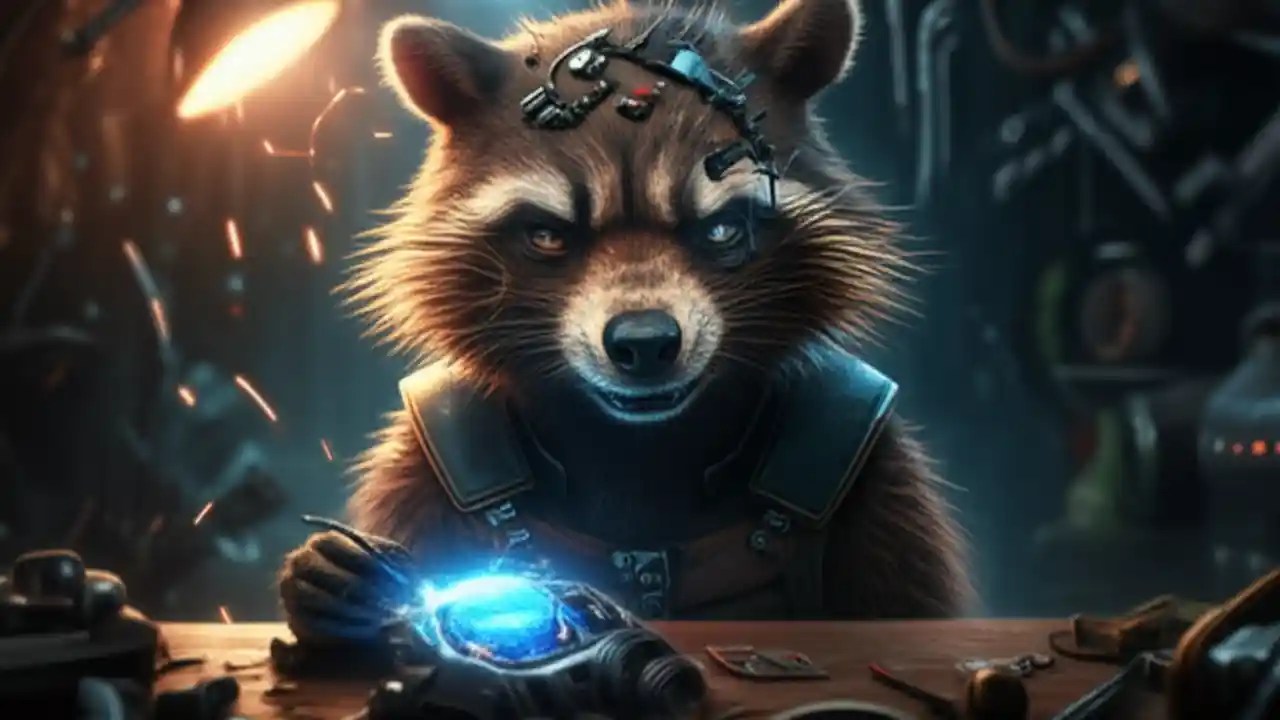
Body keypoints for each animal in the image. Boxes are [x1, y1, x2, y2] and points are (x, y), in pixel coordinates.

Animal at [280, 0, 971, 638]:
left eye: (722, 230)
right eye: (548, 236)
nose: (644, 344)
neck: (638, 447)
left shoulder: (869, 465)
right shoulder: (425, 464)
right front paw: (335, 582)